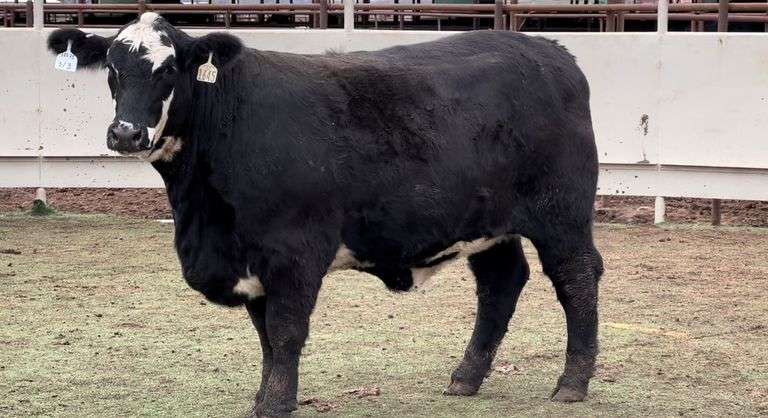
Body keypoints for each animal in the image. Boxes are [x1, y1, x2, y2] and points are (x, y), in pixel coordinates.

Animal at [48, 13, 604, 417]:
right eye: (112, 70)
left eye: (167, 69)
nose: (125, 133)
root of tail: (551, 51)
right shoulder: (251, 259)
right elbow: (265, 336)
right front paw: (266, 396)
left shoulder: (293, 252)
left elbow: (286, 330)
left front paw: (275, 404)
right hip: (486, 224)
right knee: (501, 282)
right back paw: (465, 377)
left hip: (563, 214)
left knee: (577, 278)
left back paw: (571, 382)